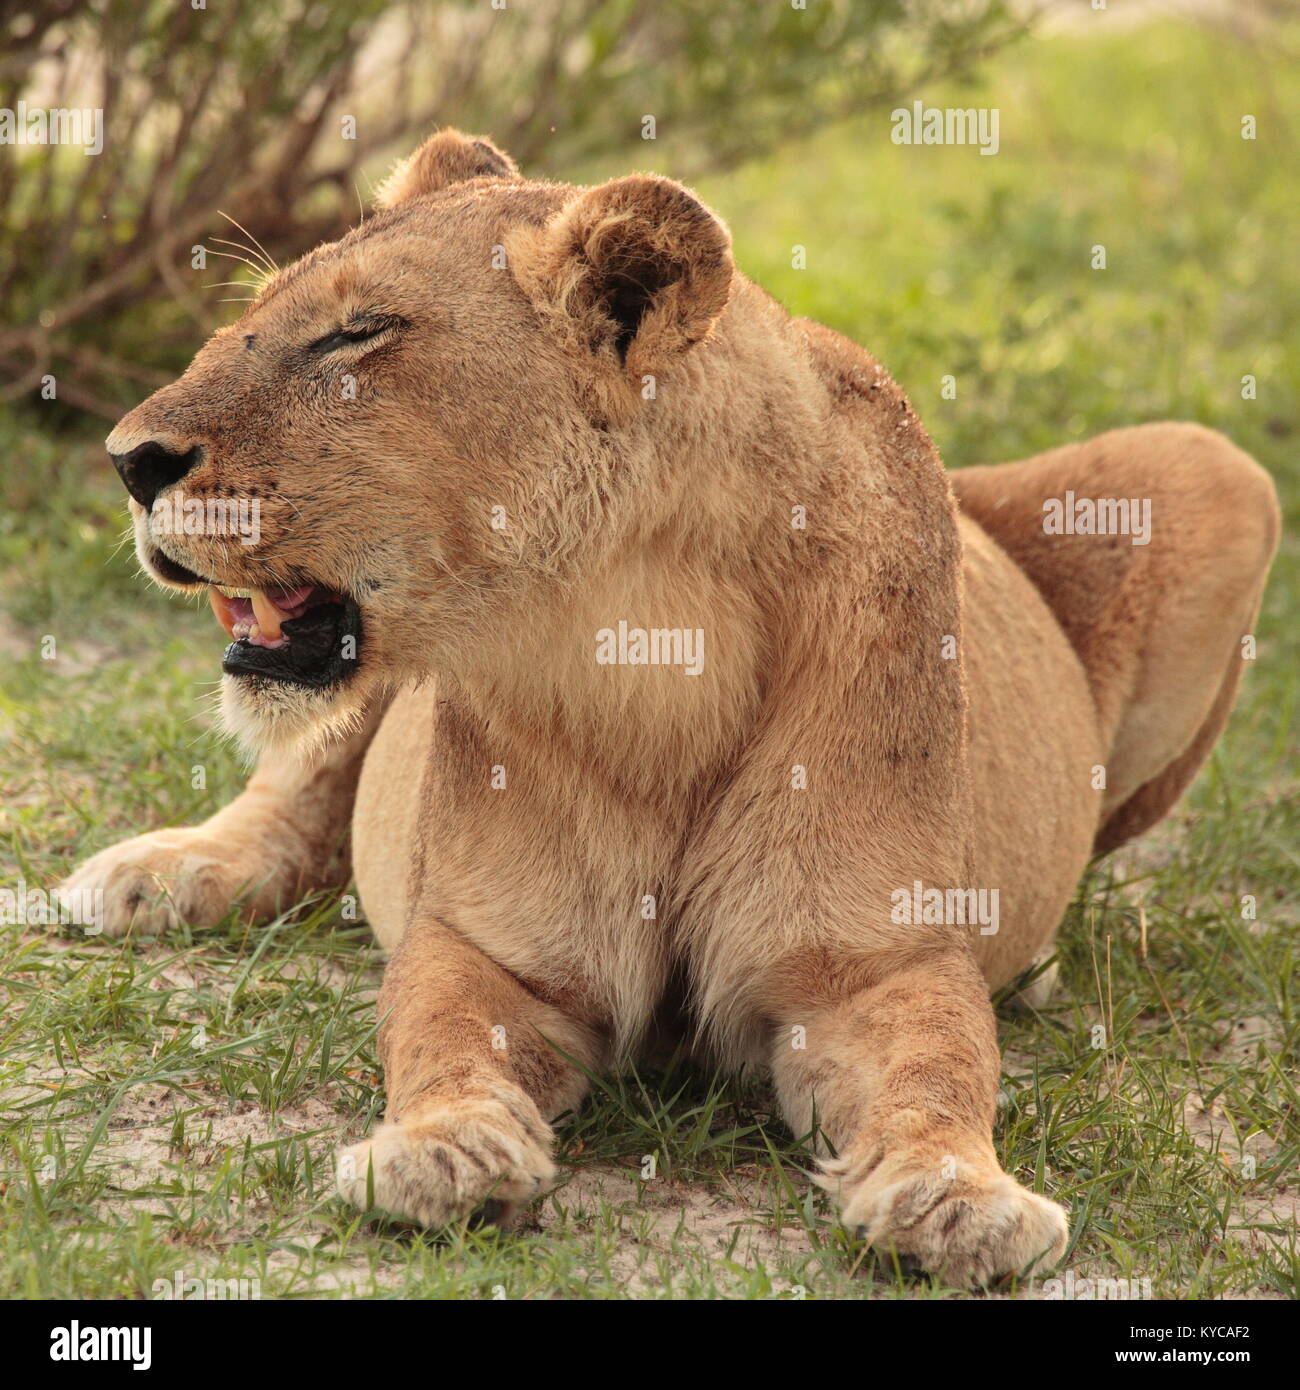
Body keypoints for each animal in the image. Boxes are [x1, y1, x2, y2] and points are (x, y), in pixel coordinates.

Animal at [60, 129, 1279, 1286]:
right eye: (262, 313)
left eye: (359, 333)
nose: (126, 459)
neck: (653, 649)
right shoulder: (491, 941)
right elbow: (437, 1028)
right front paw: (443, 1153)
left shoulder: (871, 961)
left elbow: (942, 1062)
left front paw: (957, 1199)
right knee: (292, 795)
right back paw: (149, 876)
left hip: (1218, 470)